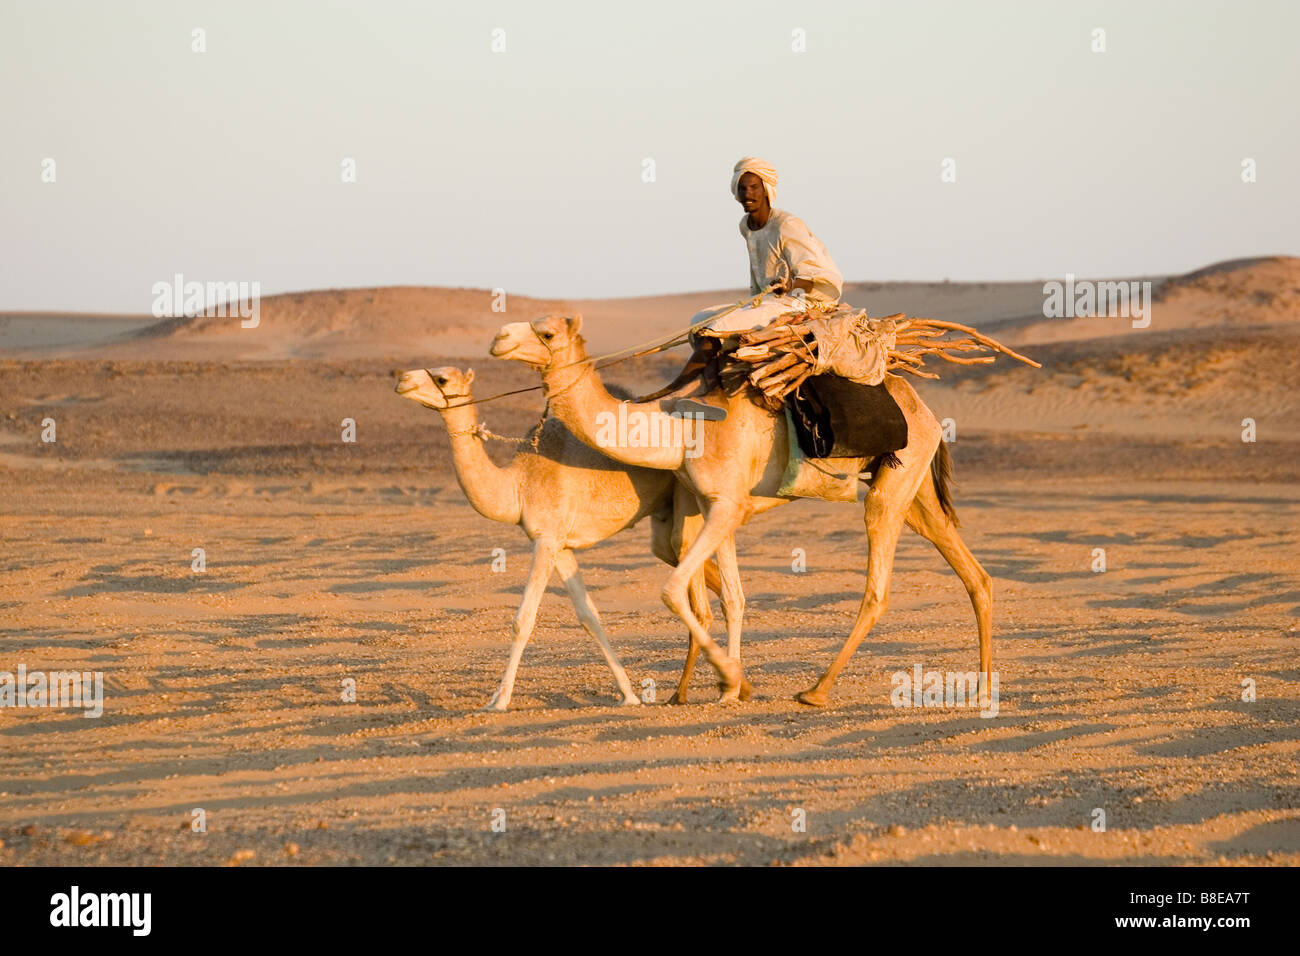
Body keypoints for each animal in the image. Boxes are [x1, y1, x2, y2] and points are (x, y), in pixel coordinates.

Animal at [394, 366, 738, 710]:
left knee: (699, 598)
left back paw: (695, 689)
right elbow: (588, 615)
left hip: (689, 500)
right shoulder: (560, 545)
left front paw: (499, 700)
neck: (519, 483)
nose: (401, 379)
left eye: (442, 379)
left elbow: (523, 619)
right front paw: (628, 695)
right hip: (665, 522)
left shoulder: (546, 539)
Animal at [490, 315, 993, 708]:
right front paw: (732, 687)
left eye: (547, 332)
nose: (499, 339)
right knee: (973, 573)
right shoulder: (714, 505)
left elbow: (673, 590)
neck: (681, 430)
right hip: (915, 487)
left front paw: (731, 679)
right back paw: (984, 689)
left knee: (878, 588)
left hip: (893, 485)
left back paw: (817, 690)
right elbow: (732, 596)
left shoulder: (726, 505)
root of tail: (924, 410)